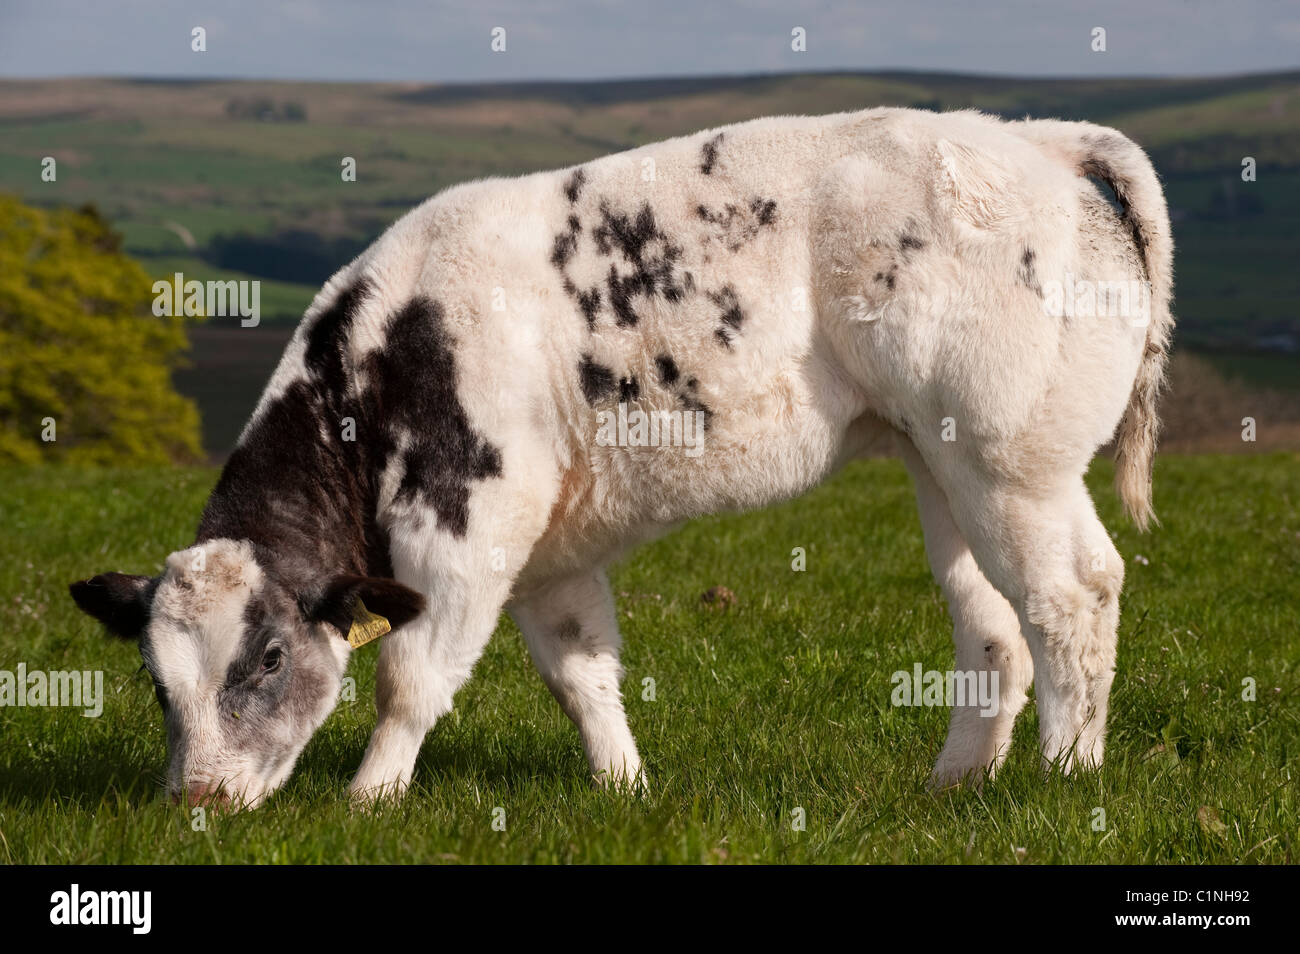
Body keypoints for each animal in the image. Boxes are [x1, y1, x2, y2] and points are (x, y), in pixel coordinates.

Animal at [70, 107, 1173, 808]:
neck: (383, 356)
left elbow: (410, 678)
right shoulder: (549, 552)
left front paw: (368, 802)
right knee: (991, 626)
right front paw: (623, 788)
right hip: (939, 458)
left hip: (1011, 455)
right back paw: (955, 783)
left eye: (265, 657)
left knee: (1073, 592)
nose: (197, 800)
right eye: (158, 685)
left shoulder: (468, 518)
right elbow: (581, 673)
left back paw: (1066, 778)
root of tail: (1038, 139)